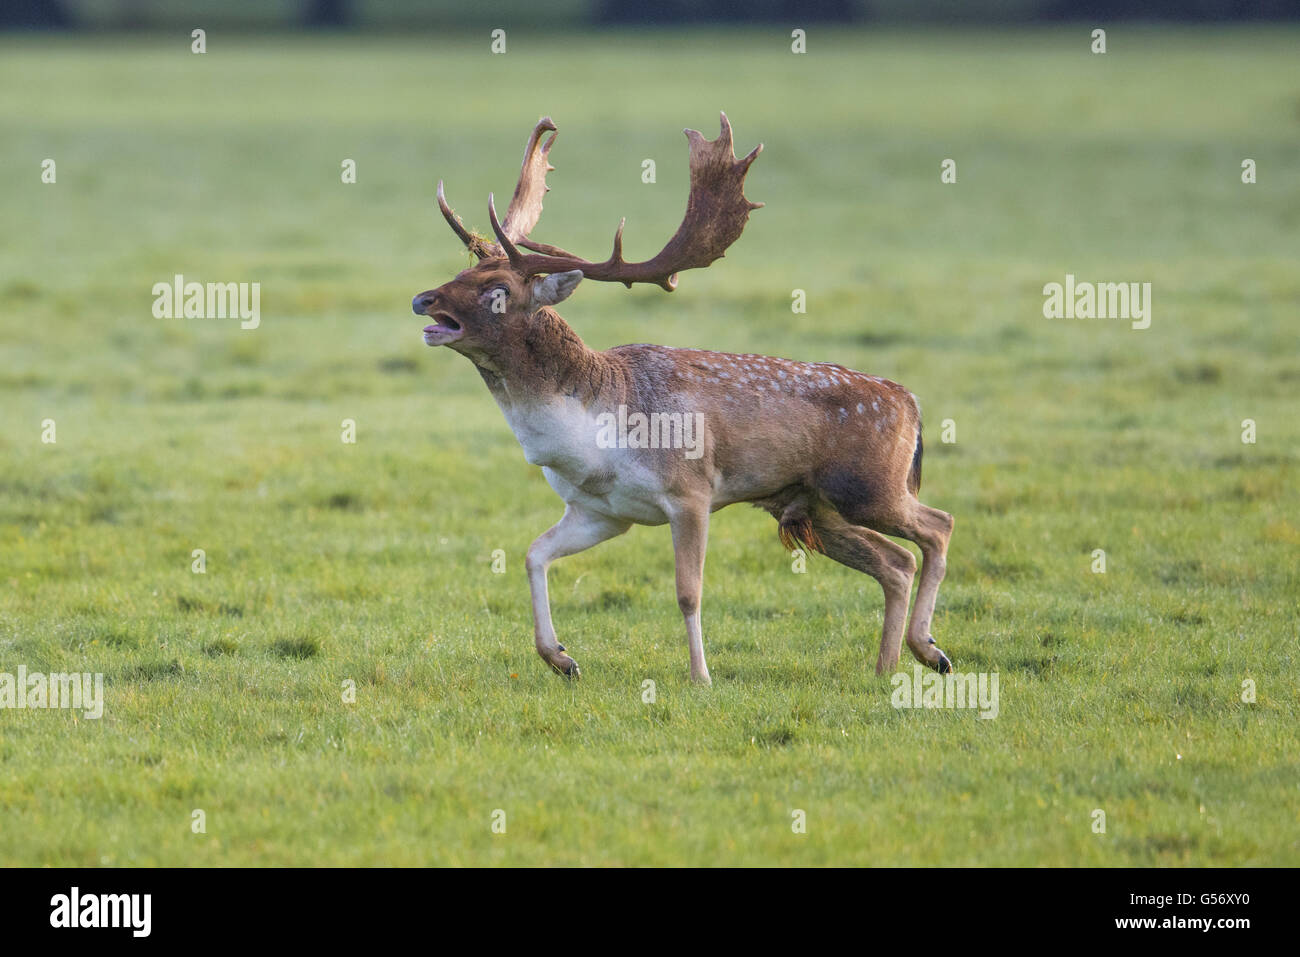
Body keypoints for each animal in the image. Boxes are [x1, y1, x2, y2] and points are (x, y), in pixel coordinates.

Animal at [412, 114, 955, 686]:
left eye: (497, 289)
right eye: (461, 272)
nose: (423, 299)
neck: (593, 440)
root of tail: (913, 406)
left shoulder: (691, 492)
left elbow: (688, 593)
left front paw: (701, 678)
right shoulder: (600, 511)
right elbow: (533, 553)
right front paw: (561, 658)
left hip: (869, 485)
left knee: (938, 527)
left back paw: (930, 649)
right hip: (811, 506)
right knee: (896, 563)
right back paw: (889, 666)